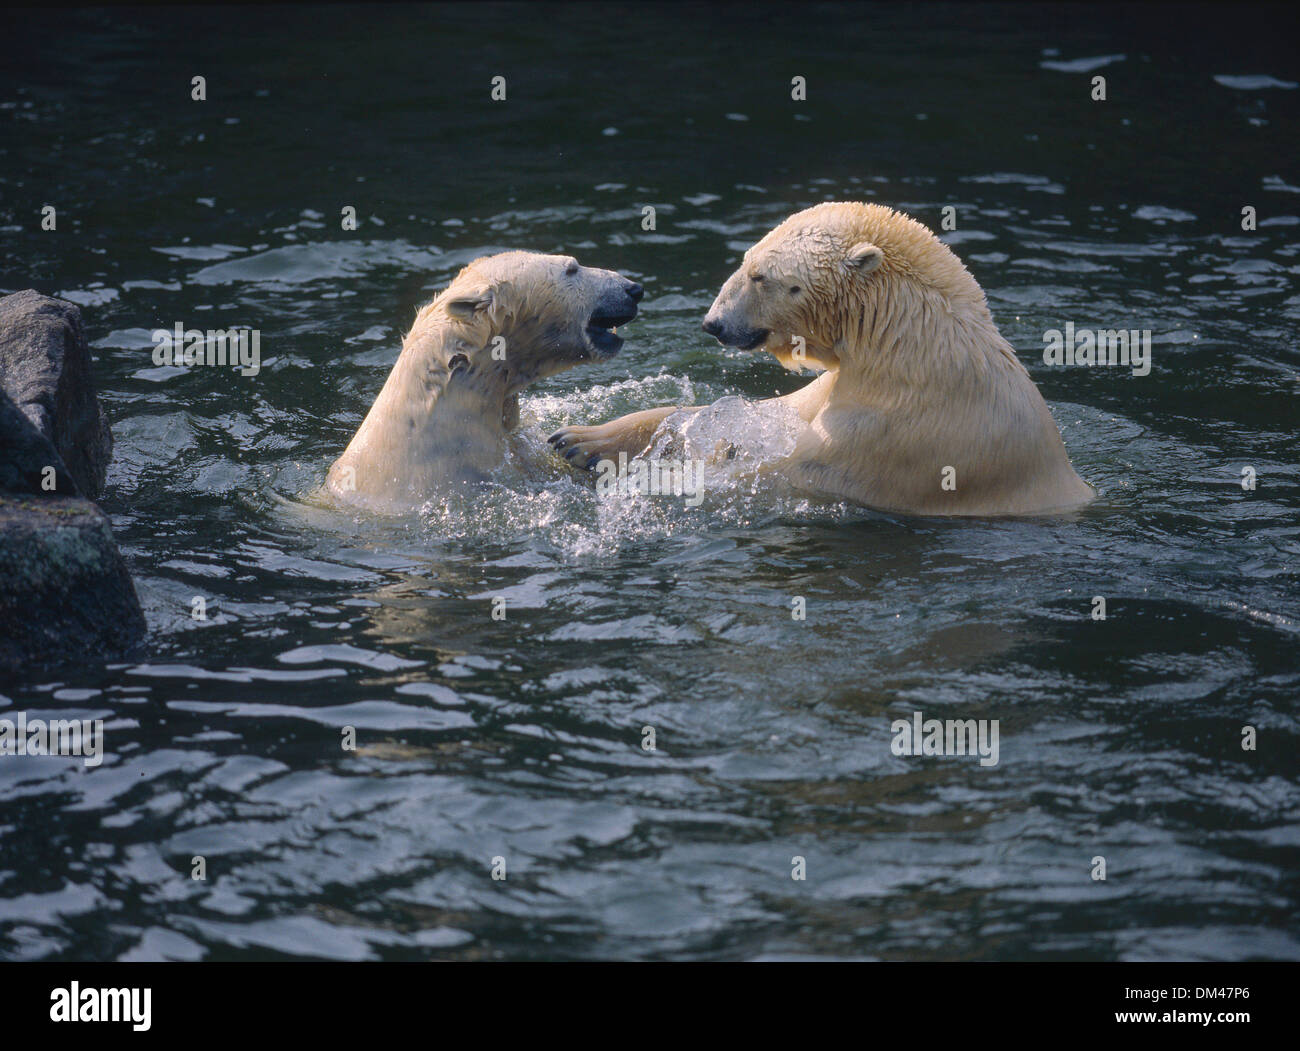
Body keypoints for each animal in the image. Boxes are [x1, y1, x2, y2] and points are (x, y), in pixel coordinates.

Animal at [548, 202, 1094, 517]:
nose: (713, 323)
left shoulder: (895, 436)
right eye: (746, 263)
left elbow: (779, 474)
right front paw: (582, 440)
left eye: (761, 276)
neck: (905, 351)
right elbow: (762, 415)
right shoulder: (836, 389)